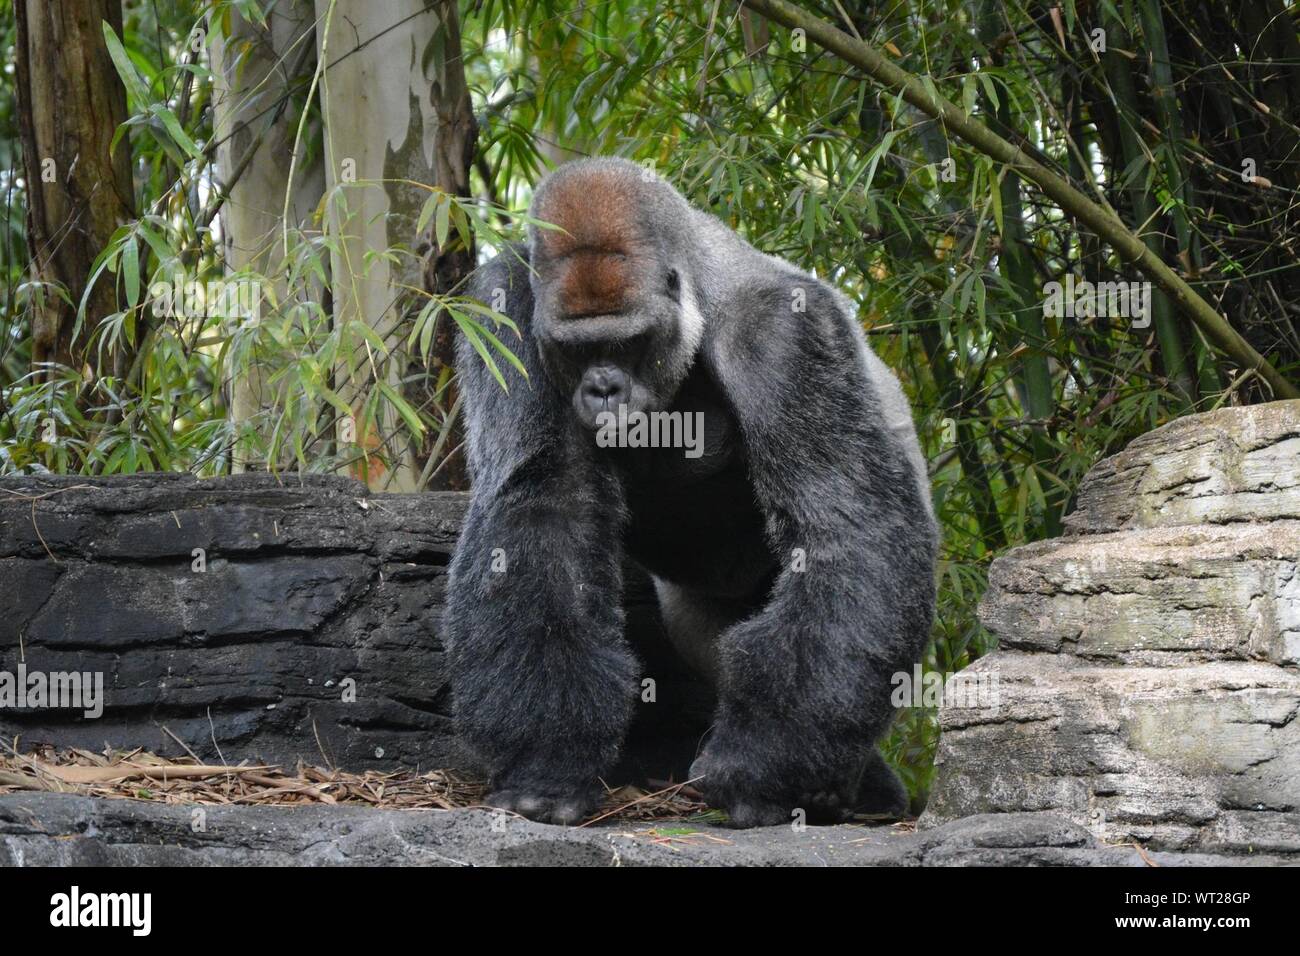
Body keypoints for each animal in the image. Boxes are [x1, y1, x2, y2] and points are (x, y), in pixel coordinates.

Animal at [444, 157, 937, 827]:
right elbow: (543, 508)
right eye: (576, 350)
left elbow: (845, 522)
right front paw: (546, 758)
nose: (603, 389)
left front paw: (762, 764)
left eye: (626, 343)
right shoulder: (503, 308)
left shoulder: (783, 328)